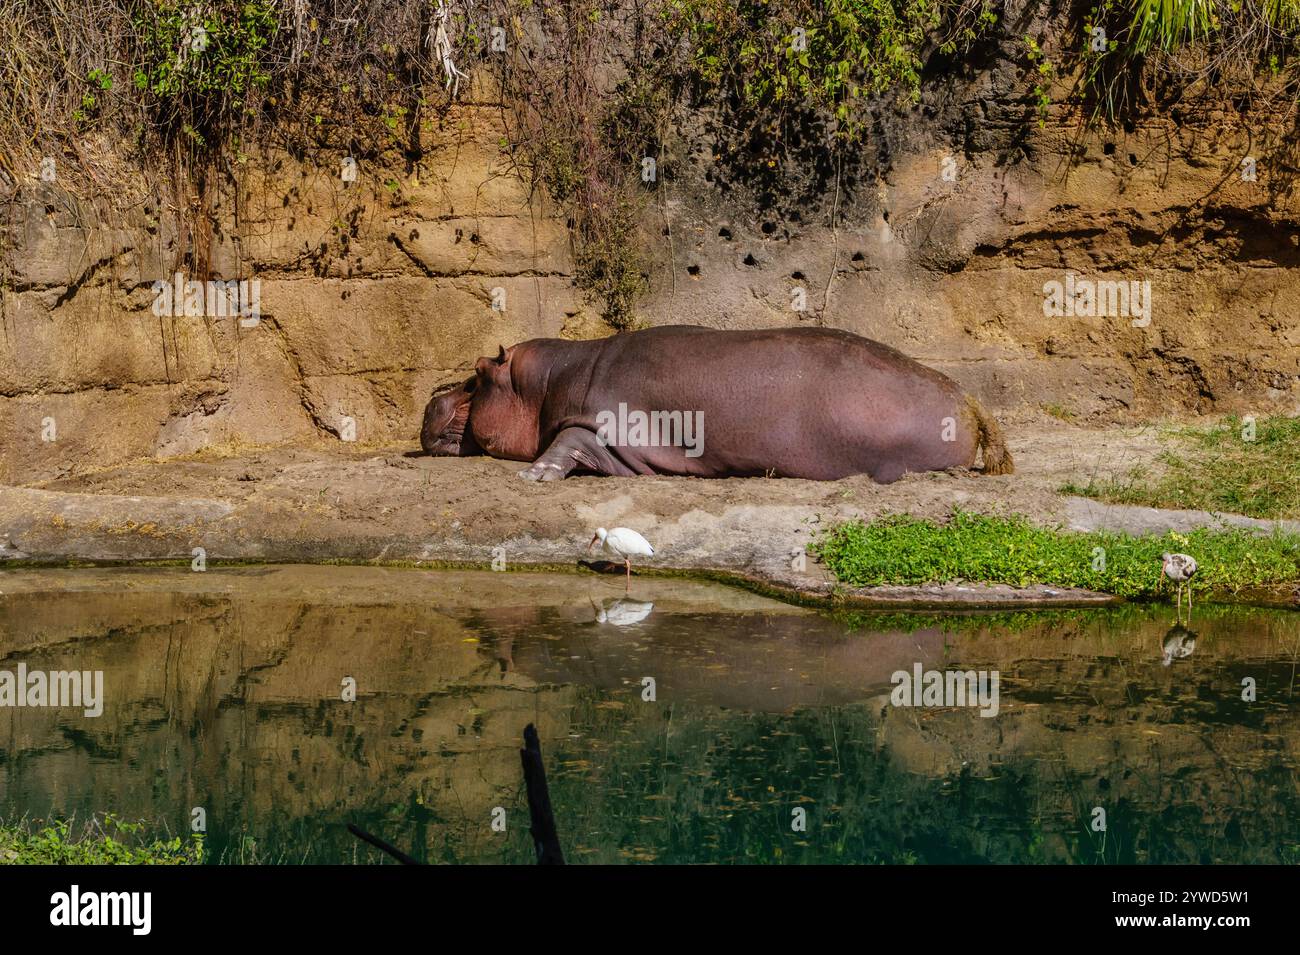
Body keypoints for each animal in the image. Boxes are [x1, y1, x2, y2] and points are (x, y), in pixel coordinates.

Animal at [419, 325, 1013, 482]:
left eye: (476, 375)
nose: (429, 399)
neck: (543, 386)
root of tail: (969, 397)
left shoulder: (600, 424)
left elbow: (565, 442)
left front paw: (534, 475)